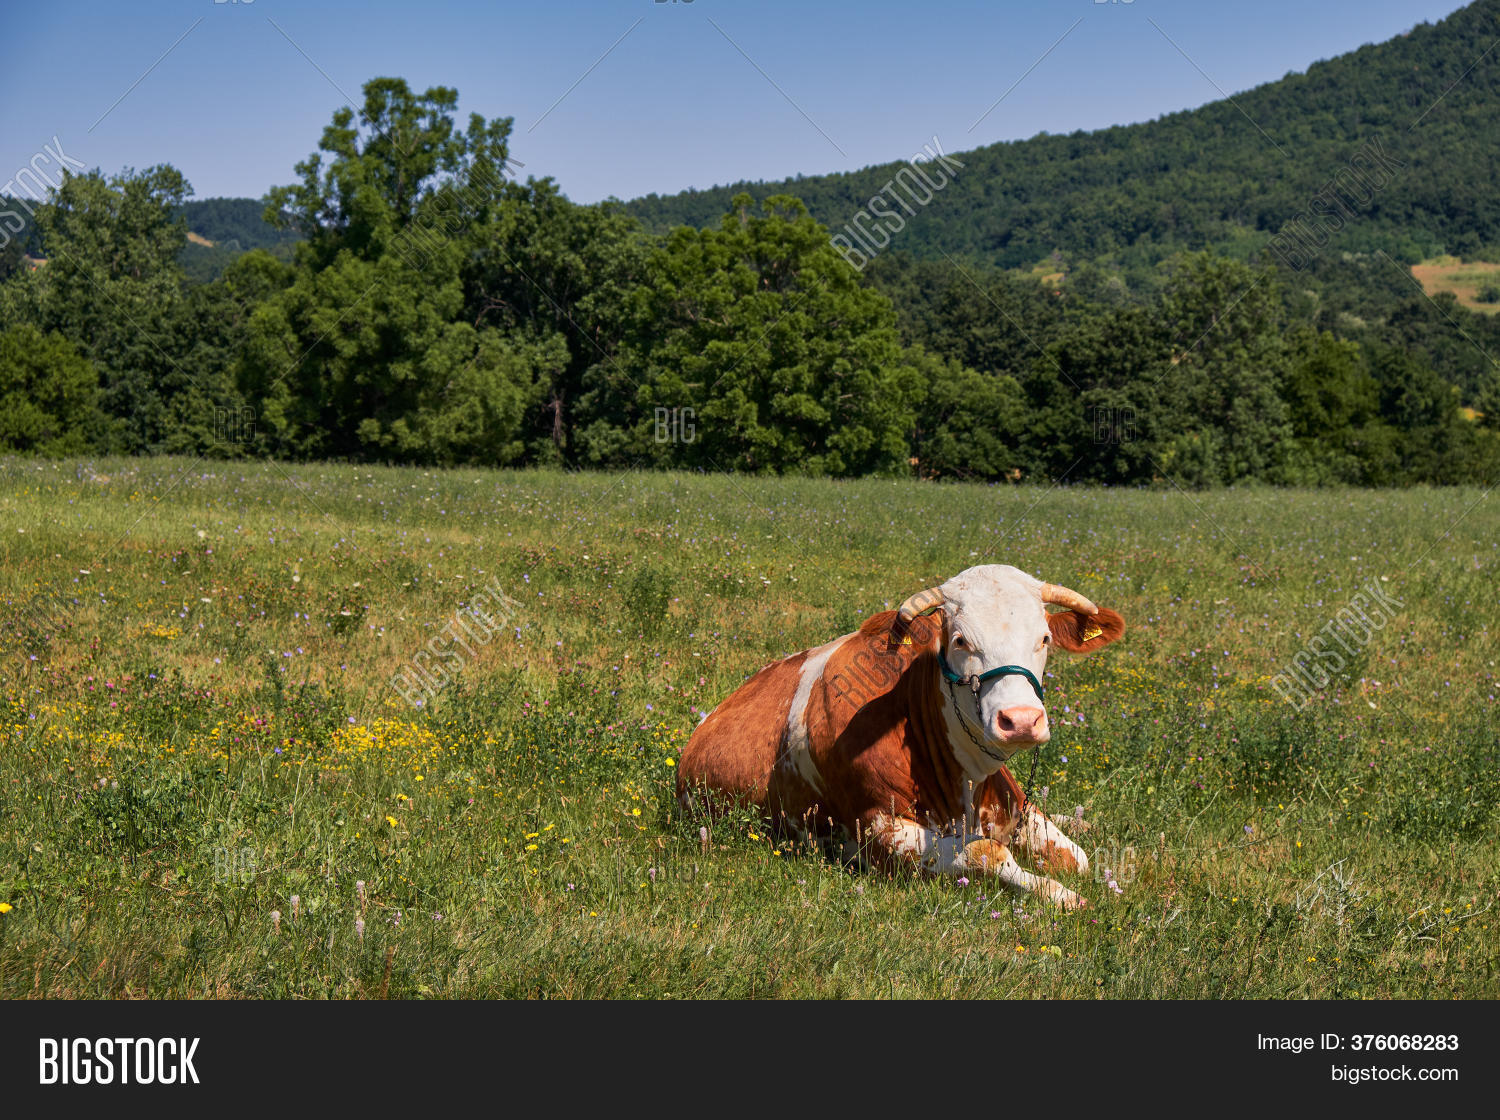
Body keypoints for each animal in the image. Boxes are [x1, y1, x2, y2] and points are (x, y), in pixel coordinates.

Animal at [677, 564, 1126, 909]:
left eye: (1044, 638)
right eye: (960, 640)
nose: (1021, 720)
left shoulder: (1015, 805)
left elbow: (1078, 857)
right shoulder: (880, 833)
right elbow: (988, 851)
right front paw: (1061, 894)